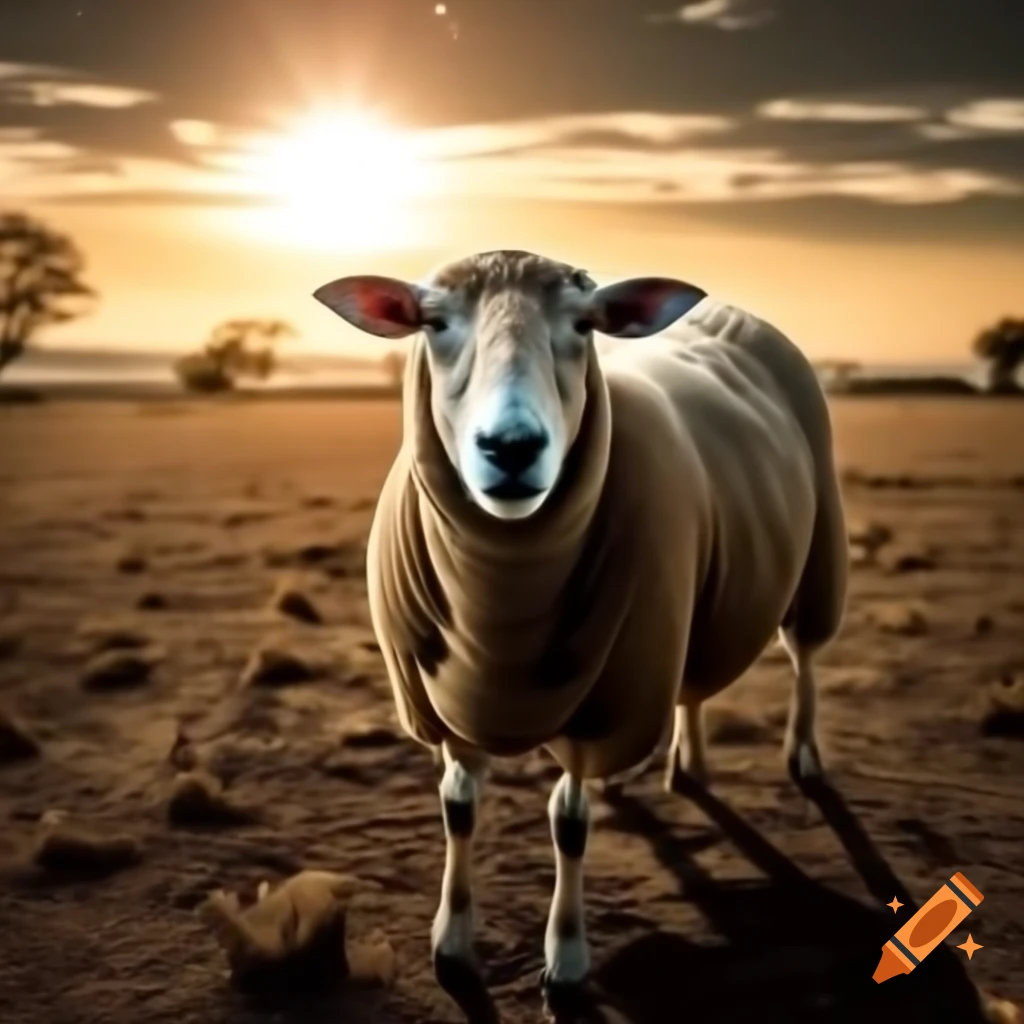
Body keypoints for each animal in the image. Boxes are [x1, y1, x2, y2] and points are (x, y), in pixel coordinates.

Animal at [314, 249, 848, 1010]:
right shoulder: (446, 704)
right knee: (692, 681)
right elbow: (457, 807)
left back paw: (800, 756)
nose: (512, 447)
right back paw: (683, 766)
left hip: (813, 554)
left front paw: (565, 959)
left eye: (583, 325)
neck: (501, 613)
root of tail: (731, 310)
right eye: (434, 323)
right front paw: (452, 946)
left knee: (803, 657)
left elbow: (568, 822)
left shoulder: (603, 709)